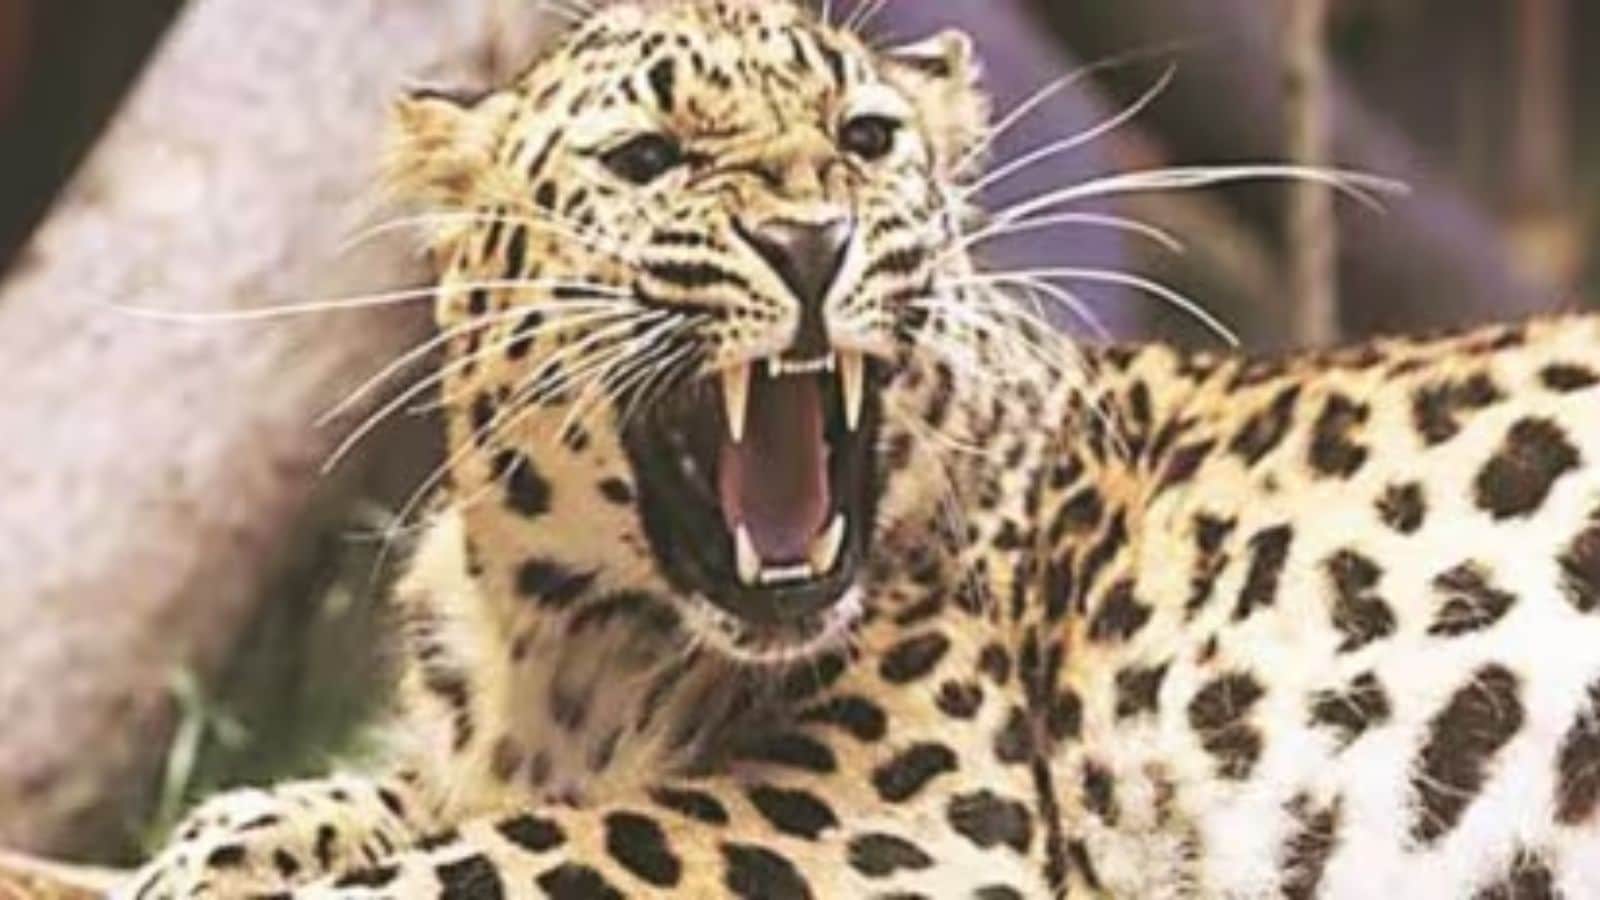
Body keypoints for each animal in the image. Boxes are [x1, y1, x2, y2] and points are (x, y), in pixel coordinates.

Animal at [115, 0, 1600, 897]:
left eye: (866, 138)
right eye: (646, 158)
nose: (811, 240)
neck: (564, 653)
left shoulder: (900, 809)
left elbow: (509, 855)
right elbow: (376, 801)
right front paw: (224, 838)